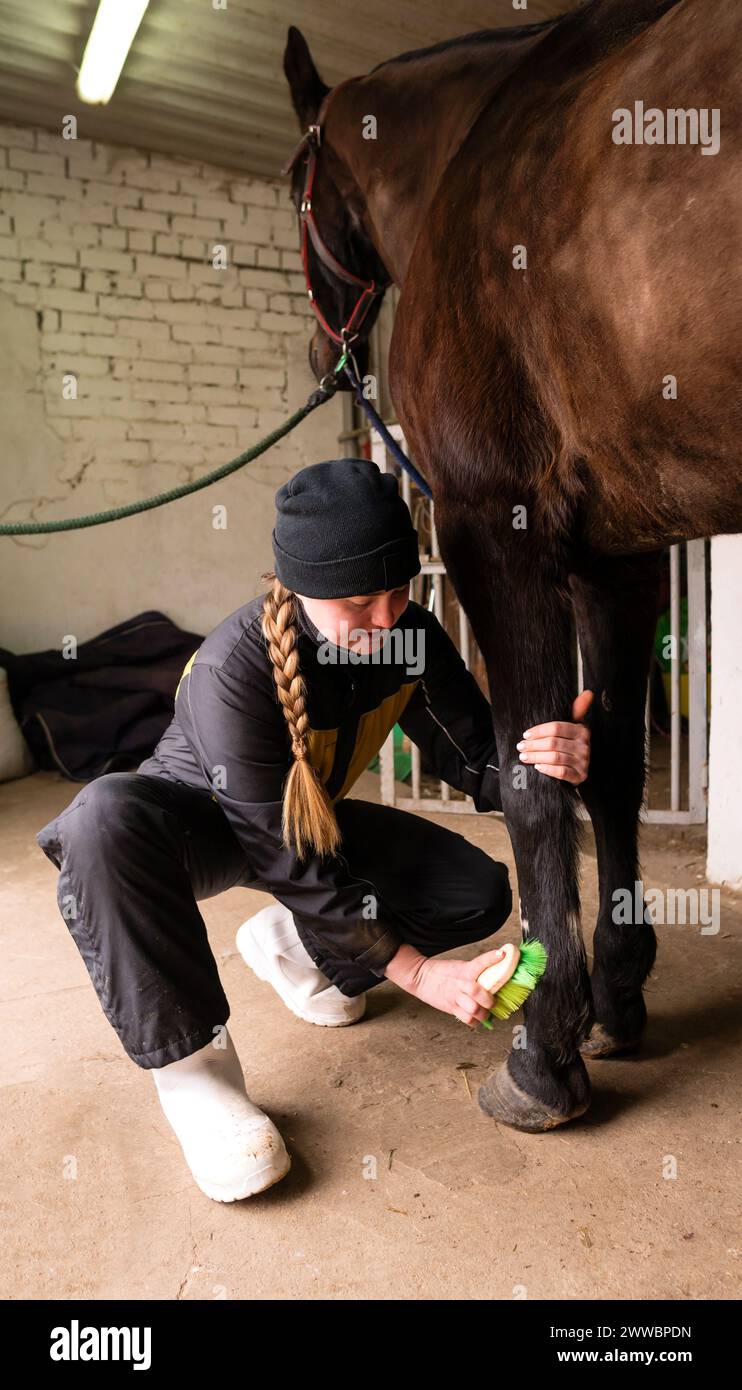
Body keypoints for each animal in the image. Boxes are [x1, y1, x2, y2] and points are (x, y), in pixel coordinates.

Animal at [280, 0, 742, 1132]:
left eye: (291, 183)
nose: (321, 357)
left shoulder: (494, 526)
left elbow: (533, 782)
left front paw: (544, 1048)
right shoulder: (620, 556)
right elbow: (610, 766)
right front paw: (619, 994)